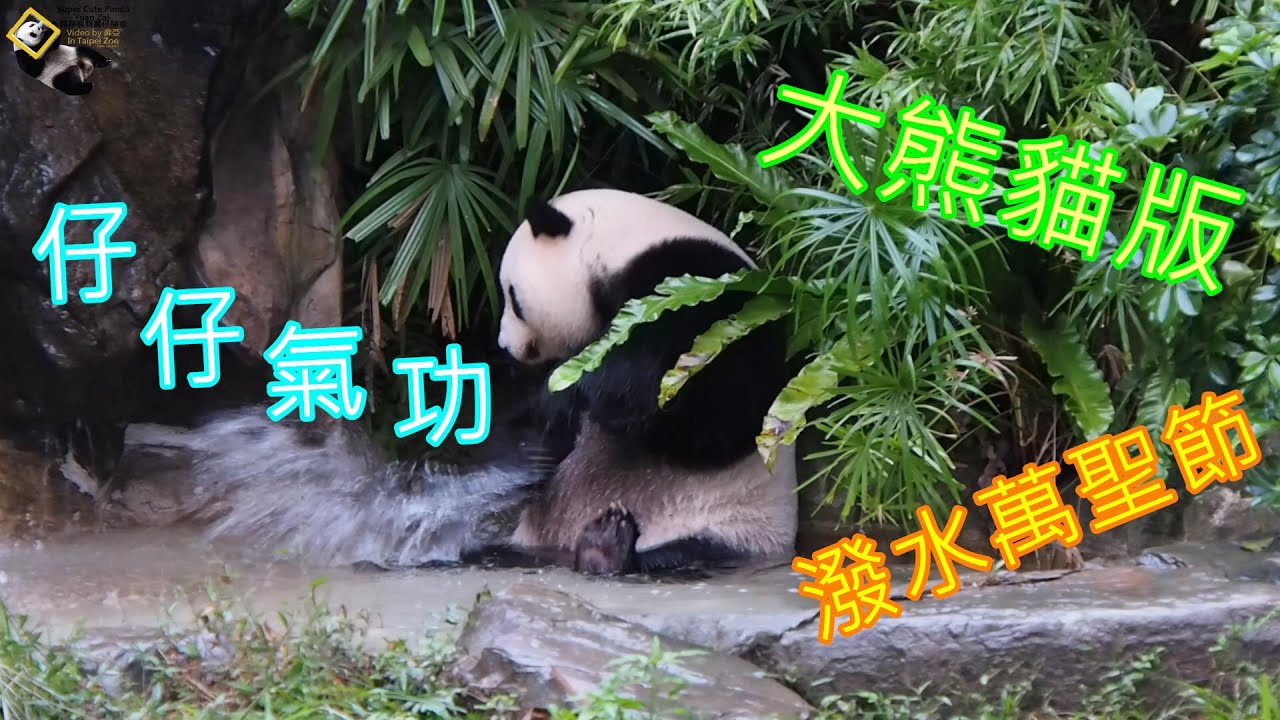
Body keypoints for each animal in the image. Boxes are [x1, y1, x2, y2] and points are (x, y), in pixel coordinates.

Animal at [482, 188, 800, 576]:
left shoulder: (708, 288)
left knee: (685, 556)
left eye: (513, 297)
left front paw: (569, 395)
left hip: (731, 527)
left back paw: (607, 550)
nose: (504, 345)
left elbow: (717, 410)